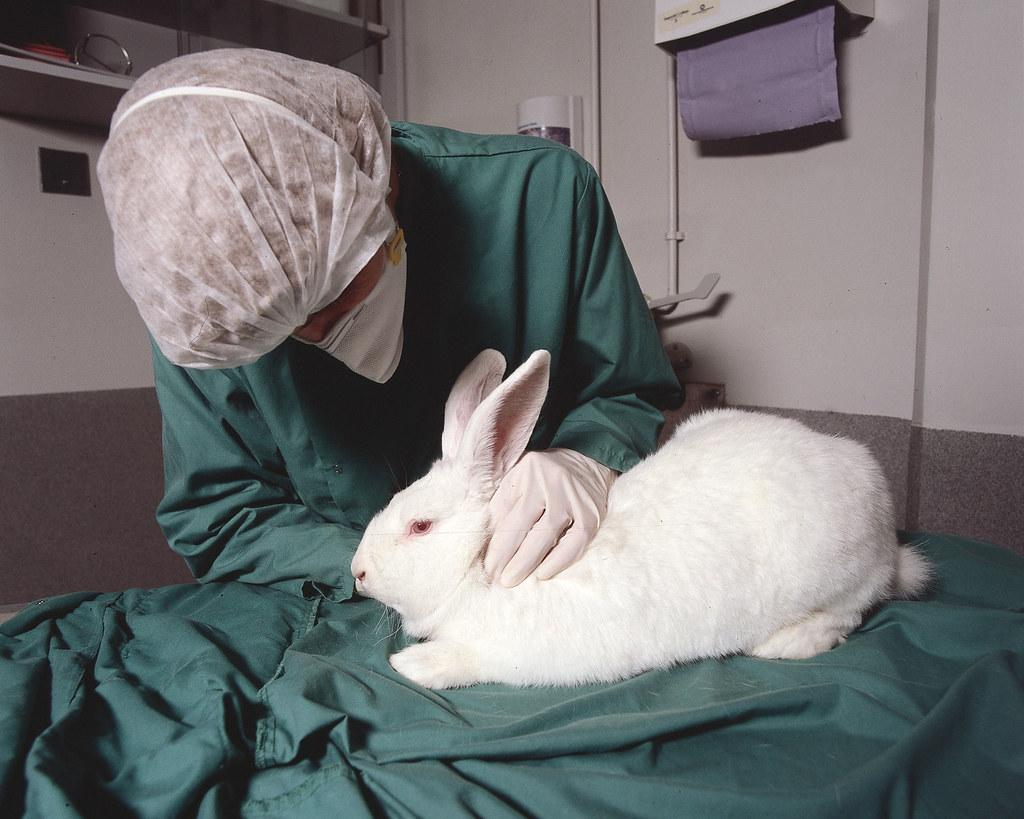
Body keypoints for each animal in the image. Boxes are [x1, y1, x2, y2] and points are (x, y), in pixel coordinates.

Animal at [350, 349, 930, 689]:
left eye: (420, 527)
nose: (356, 571)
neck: (479, 562)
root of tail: (886, 532)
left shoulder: (522, 652)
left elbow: (471, 659)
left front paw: (413, 665)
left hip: (829, 575)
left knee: (850, 613)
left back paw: (781, 644)